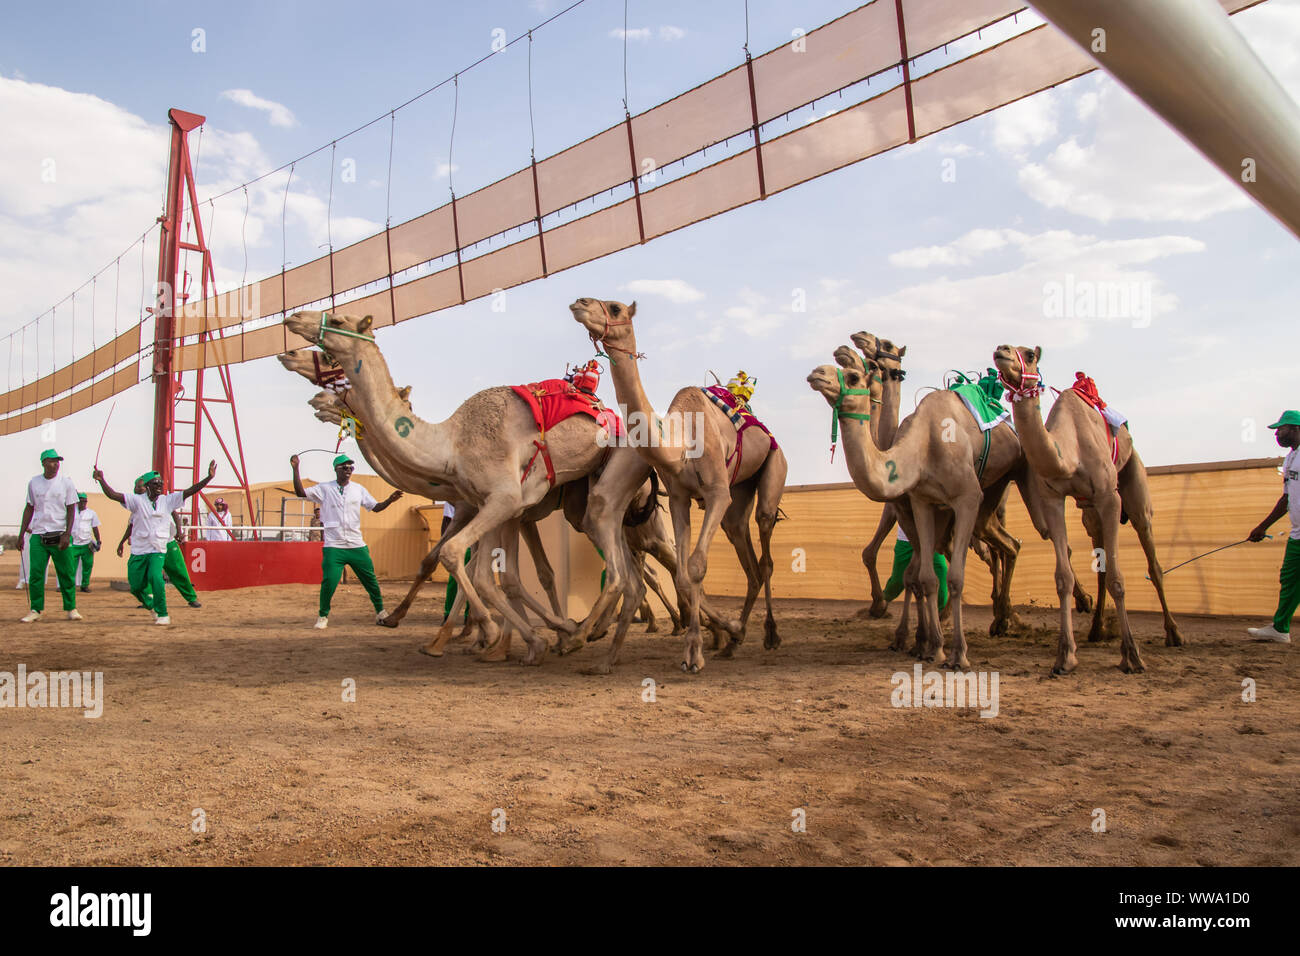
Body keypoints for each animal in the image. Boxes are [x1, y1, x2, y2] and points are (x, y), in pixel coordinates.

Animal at [571, 297, 787, 673]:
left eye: (615, 308)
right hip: (739, 494)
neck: (680, 441)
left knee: (765, 547)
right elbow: (685, 575)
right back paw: (734, 640)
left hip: (774, 466)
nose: (580, 303)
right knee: (746, 554)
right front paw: (694, 649)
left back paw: (770, 635)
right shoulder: (679, 498)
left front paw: (697, 654)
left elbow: (697, 566)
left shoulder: (716, 493)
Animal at [992, 345, 1182, 674]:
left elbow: (1119, 577)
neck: (1070, 453)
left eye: (1029, 355)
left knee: (1152, 558)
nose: (1001, 350)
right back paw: (1096, 630)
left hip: (1133, 485)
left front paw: (1132, 656)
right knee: (1100, 559)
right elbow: (1063, 578)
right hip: (1089, 512)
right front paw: (1065, 656)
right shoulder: (1053, 500)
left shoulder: (1109, 497)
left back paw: (1173, 633)